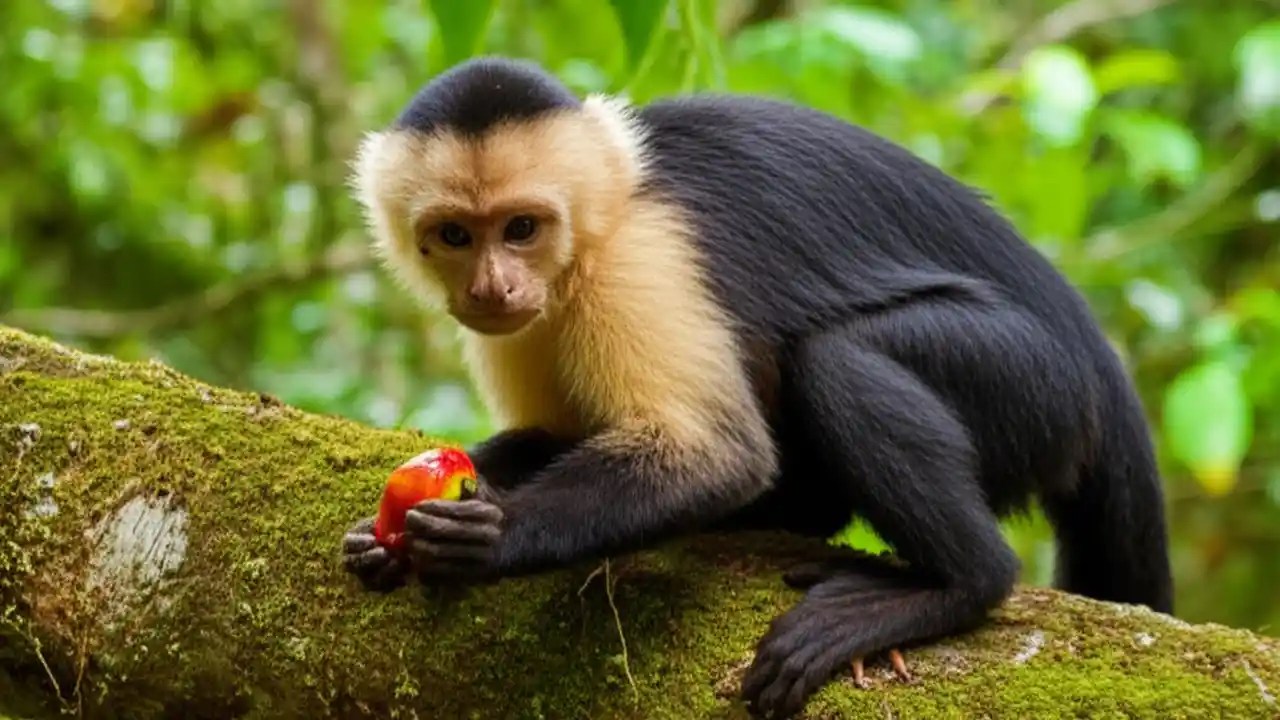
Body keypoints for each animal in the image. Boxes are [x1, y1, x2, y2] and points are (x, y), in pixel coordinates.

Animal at [338, 56, 1175, 719]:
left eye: (521, 228)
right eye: (455, 235)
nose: (494, 287)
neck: (596, 233)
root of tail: (1099, 363)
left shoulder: (642, 258)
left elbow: (713, 454)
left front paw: (491, 532)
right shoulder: (526, 320)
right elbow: (556, 438)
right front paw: (405, 519)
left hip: (1037, 388)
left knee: (838, 359)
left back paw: (955, 584)